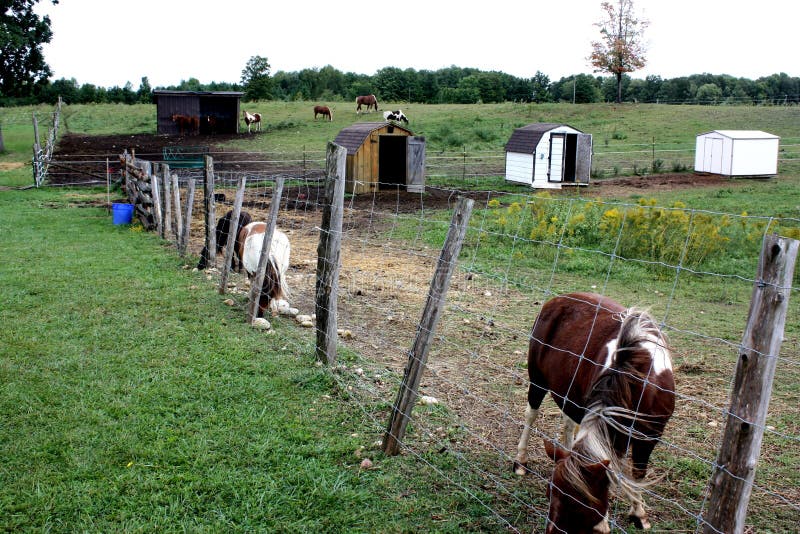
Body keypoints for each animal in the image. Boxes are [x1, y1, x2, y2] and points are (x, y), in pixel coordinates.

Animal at [513, 292, 675, 533]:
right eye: (549, 493)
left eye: (578, 505)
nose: (553, 532)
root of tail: (558, 299)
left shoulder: (650, 435)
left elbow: (637, 472)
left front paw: (639, 514)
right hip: (537, 379)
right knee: (531, 414)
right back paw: (520, 462)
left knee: (569, 422)